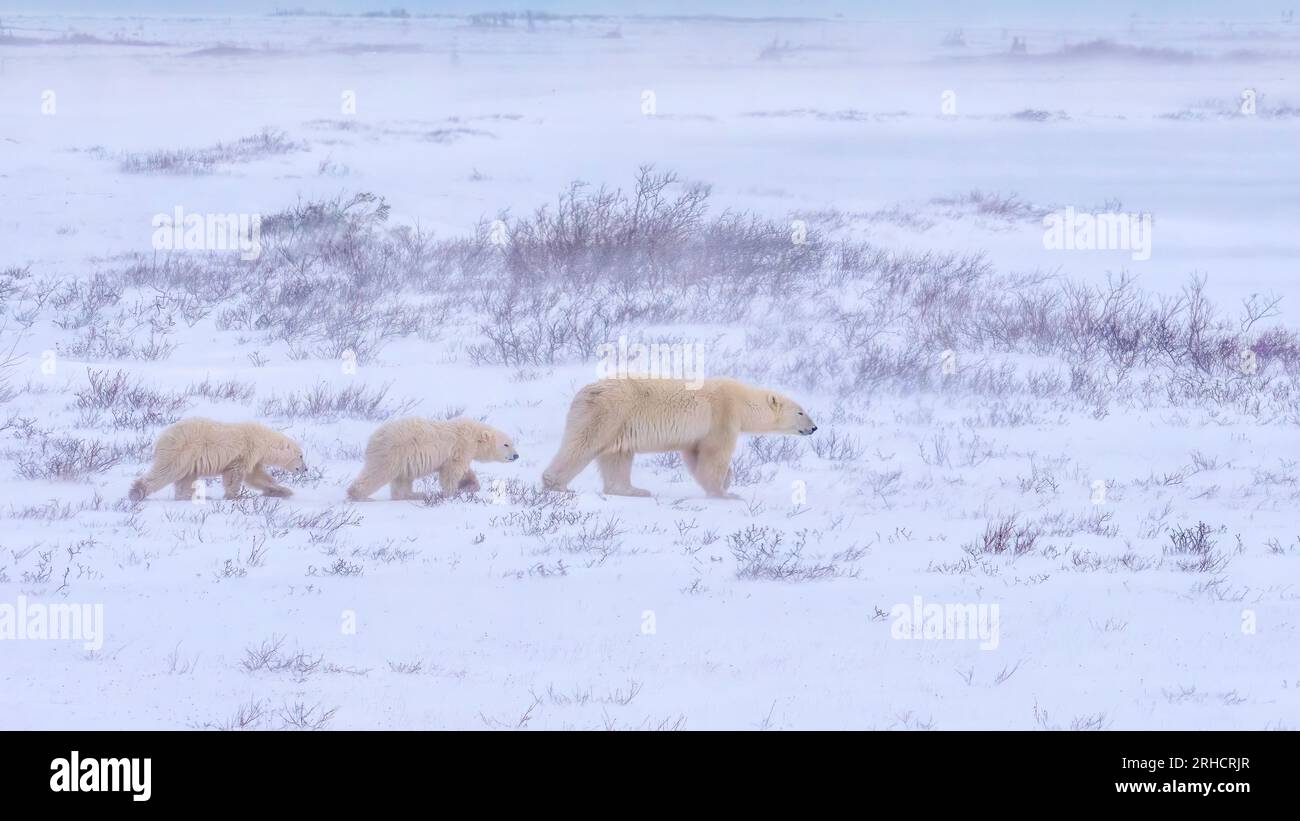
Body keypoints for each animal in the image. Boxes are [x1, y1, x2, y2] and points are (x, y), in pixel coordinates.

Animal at [546, 379, 811, 501]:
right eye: (800, 412)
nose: (814, 427)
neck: (741, 401)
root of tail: (583, 393)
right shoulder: (722, 416)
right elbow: (714, 456)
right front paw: (727, 493)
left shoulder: (698, 434)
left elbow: (695, 457)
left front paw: (725, 484)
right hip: (608, 413)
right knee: (583, 445)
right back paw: (557, 485)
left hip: (620, 424)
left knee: (617, 456)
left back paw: (635, 490)